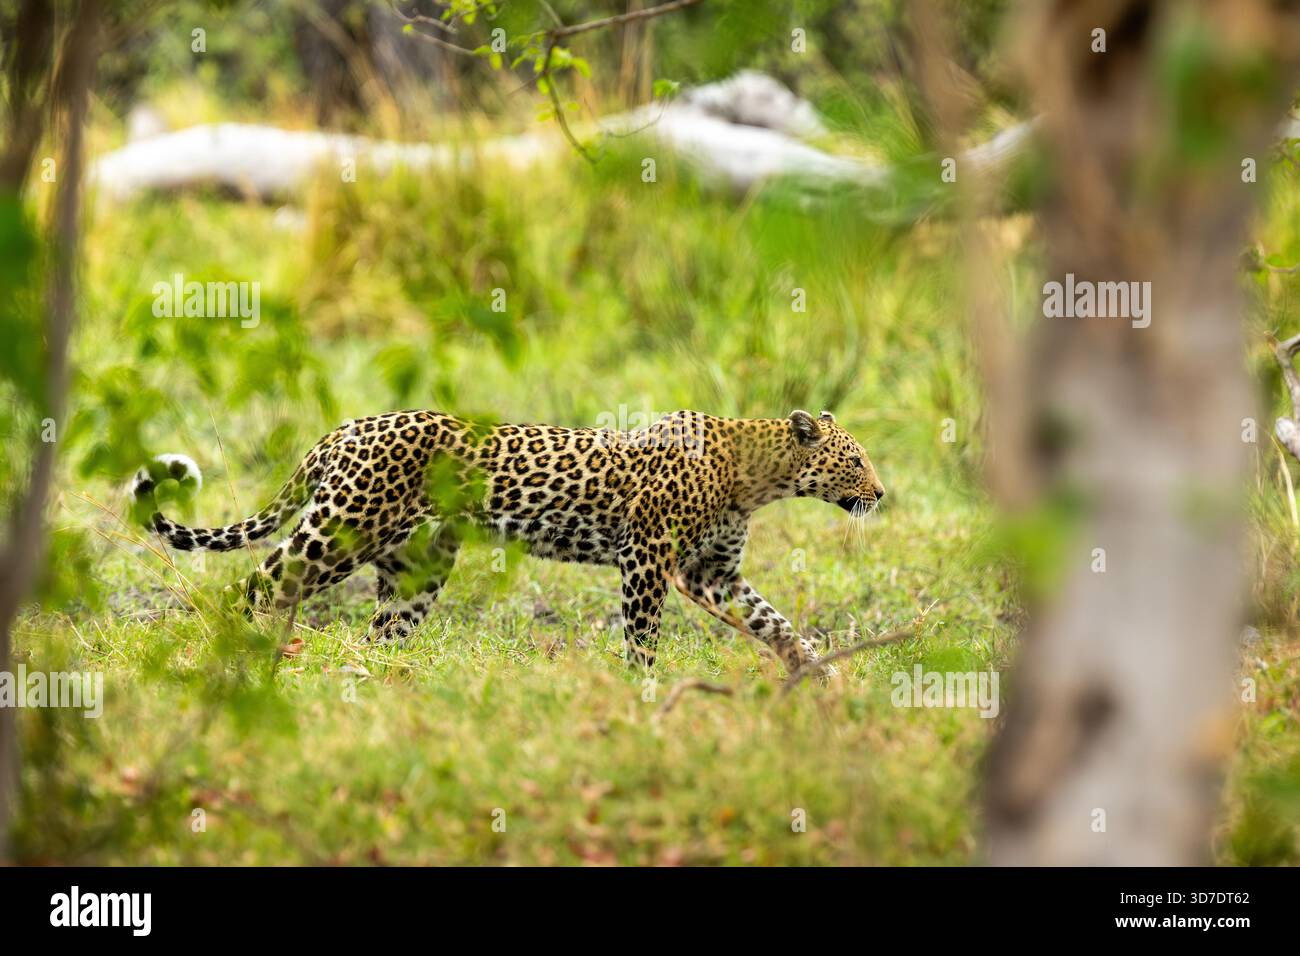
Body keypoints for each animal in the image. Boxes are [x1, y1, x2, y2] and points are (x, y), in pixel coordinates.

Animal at [129, 408, 885, 674]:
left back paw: (381, 684)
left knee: (380, 632)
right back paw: (225, 649)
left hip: (417, 564)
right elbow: (642, 634)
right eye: (855, 461)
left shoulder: (713, 575)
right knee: (254, 583)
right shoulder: (648, 558)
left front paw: (817, 672)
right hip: (340, 530)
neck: (760, 478)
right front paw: (643, 688)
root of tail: (342, 429)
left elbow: (773, 620)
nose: (880, 494)